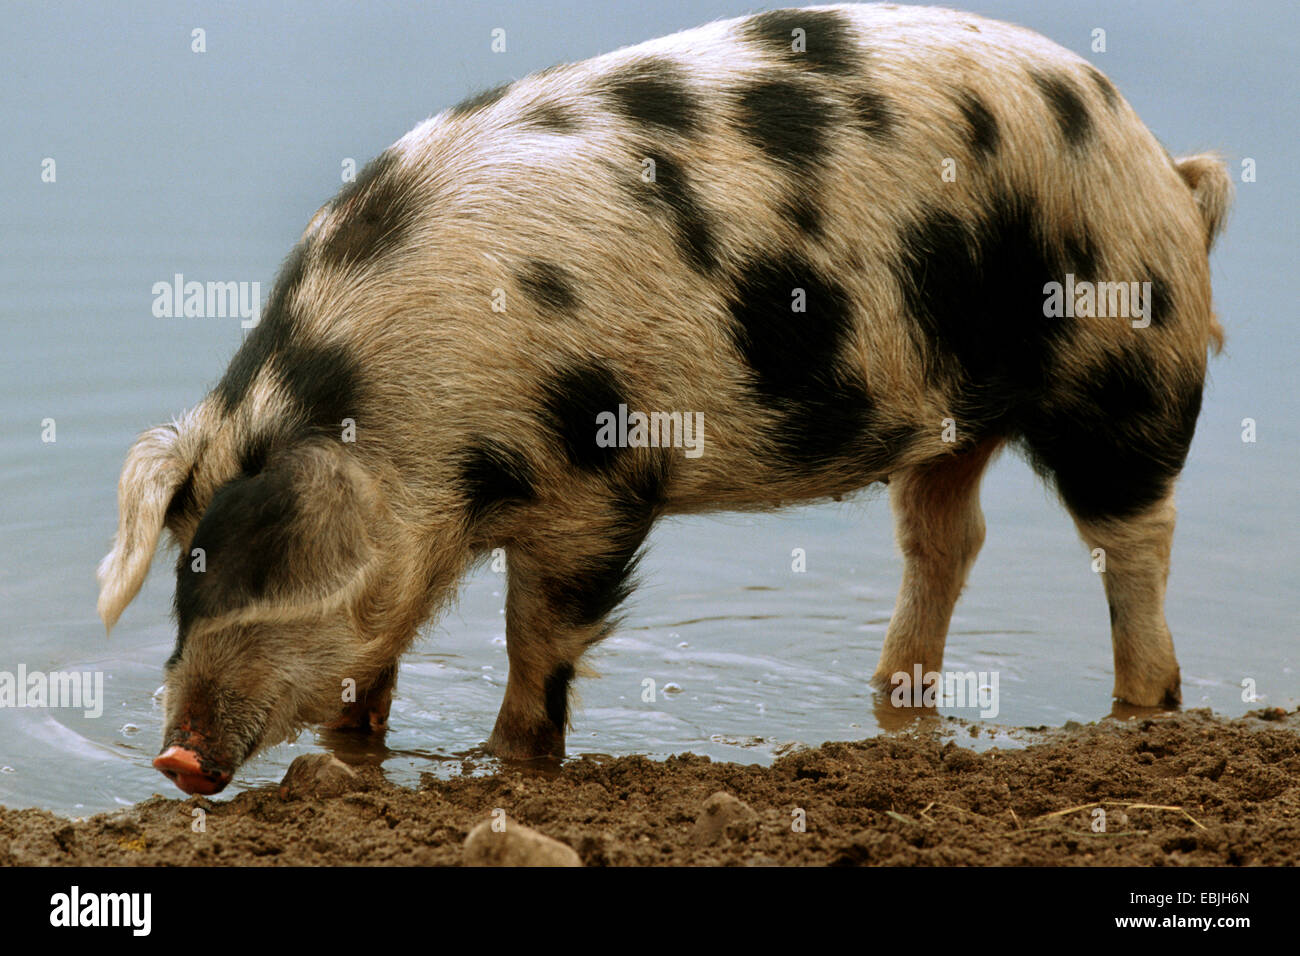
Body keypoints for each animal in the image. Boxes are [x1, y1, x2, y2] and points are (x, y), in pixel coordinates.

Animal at [97, 4, 1230, 795]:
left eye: (239, 567)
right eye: (184, 566)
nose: (174, 756)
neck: (419, 421)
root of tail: (1165, 166)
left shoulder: (592, 488)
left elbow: (538, 637)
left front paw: (505, 760)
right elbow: (371, 667)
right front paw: (354, 753)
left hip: (1122, 358)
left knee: (1135, 536)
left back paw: (1142, 700)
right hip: (952, 414)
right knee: (945, 539)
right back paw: (889, 695)